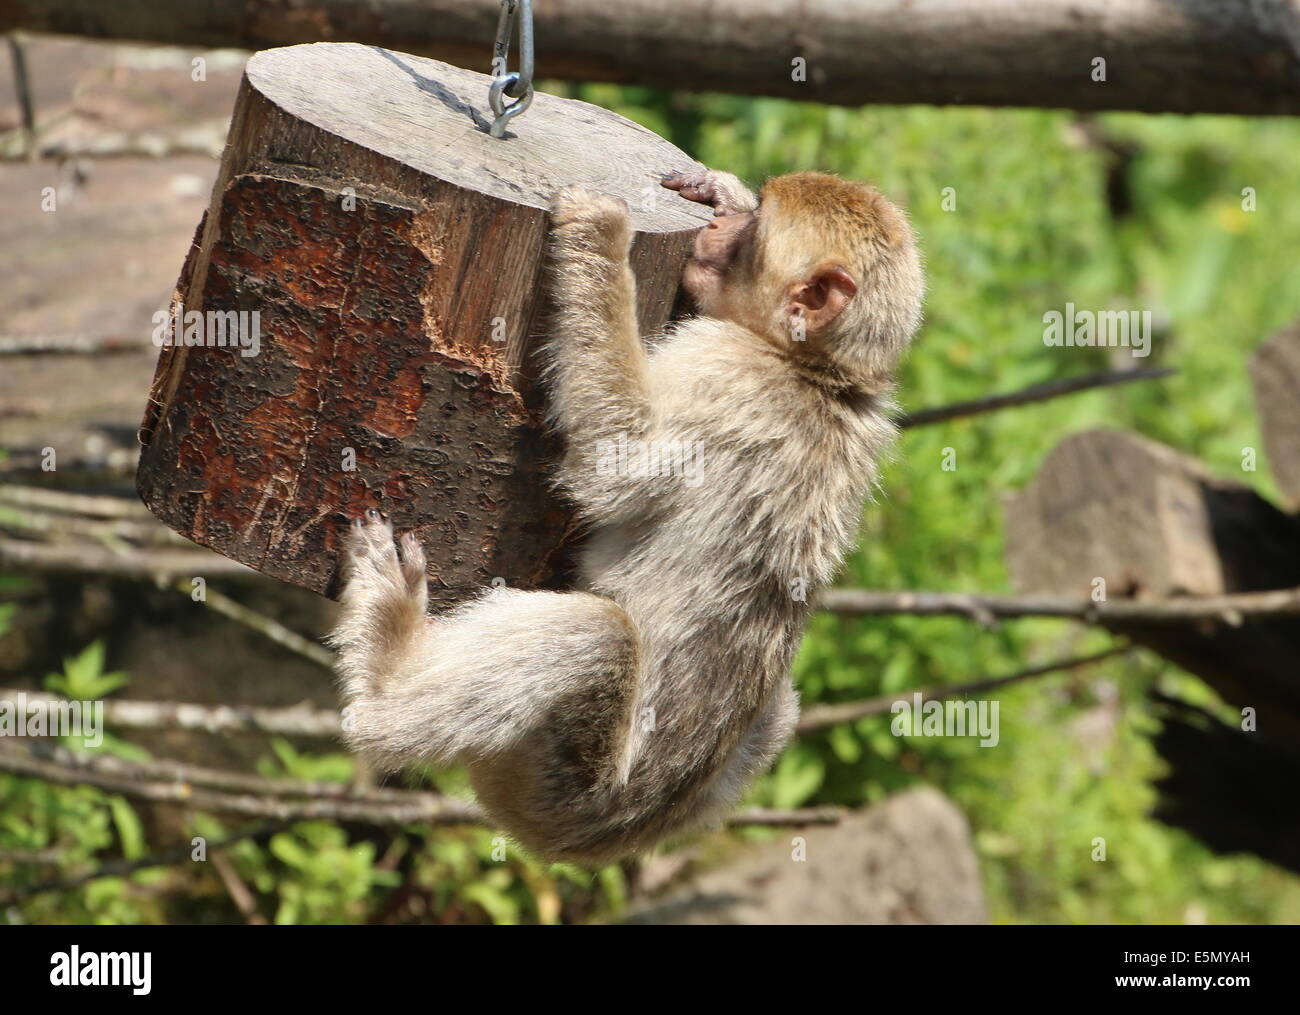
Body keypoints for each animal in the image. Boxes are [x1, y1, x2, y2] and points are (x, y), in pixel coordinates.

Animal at [329, 167, 924, 865]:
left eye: (752, 235)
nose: (722, 228)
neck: (822, 372)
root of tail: (601, 835)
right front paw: (718, 190)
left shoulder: (720, 365)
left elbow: (617, 463)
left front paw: (603, 240)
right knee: (779, 707)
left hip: (562, 773)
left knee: (598, 633)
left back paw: (383, 680)